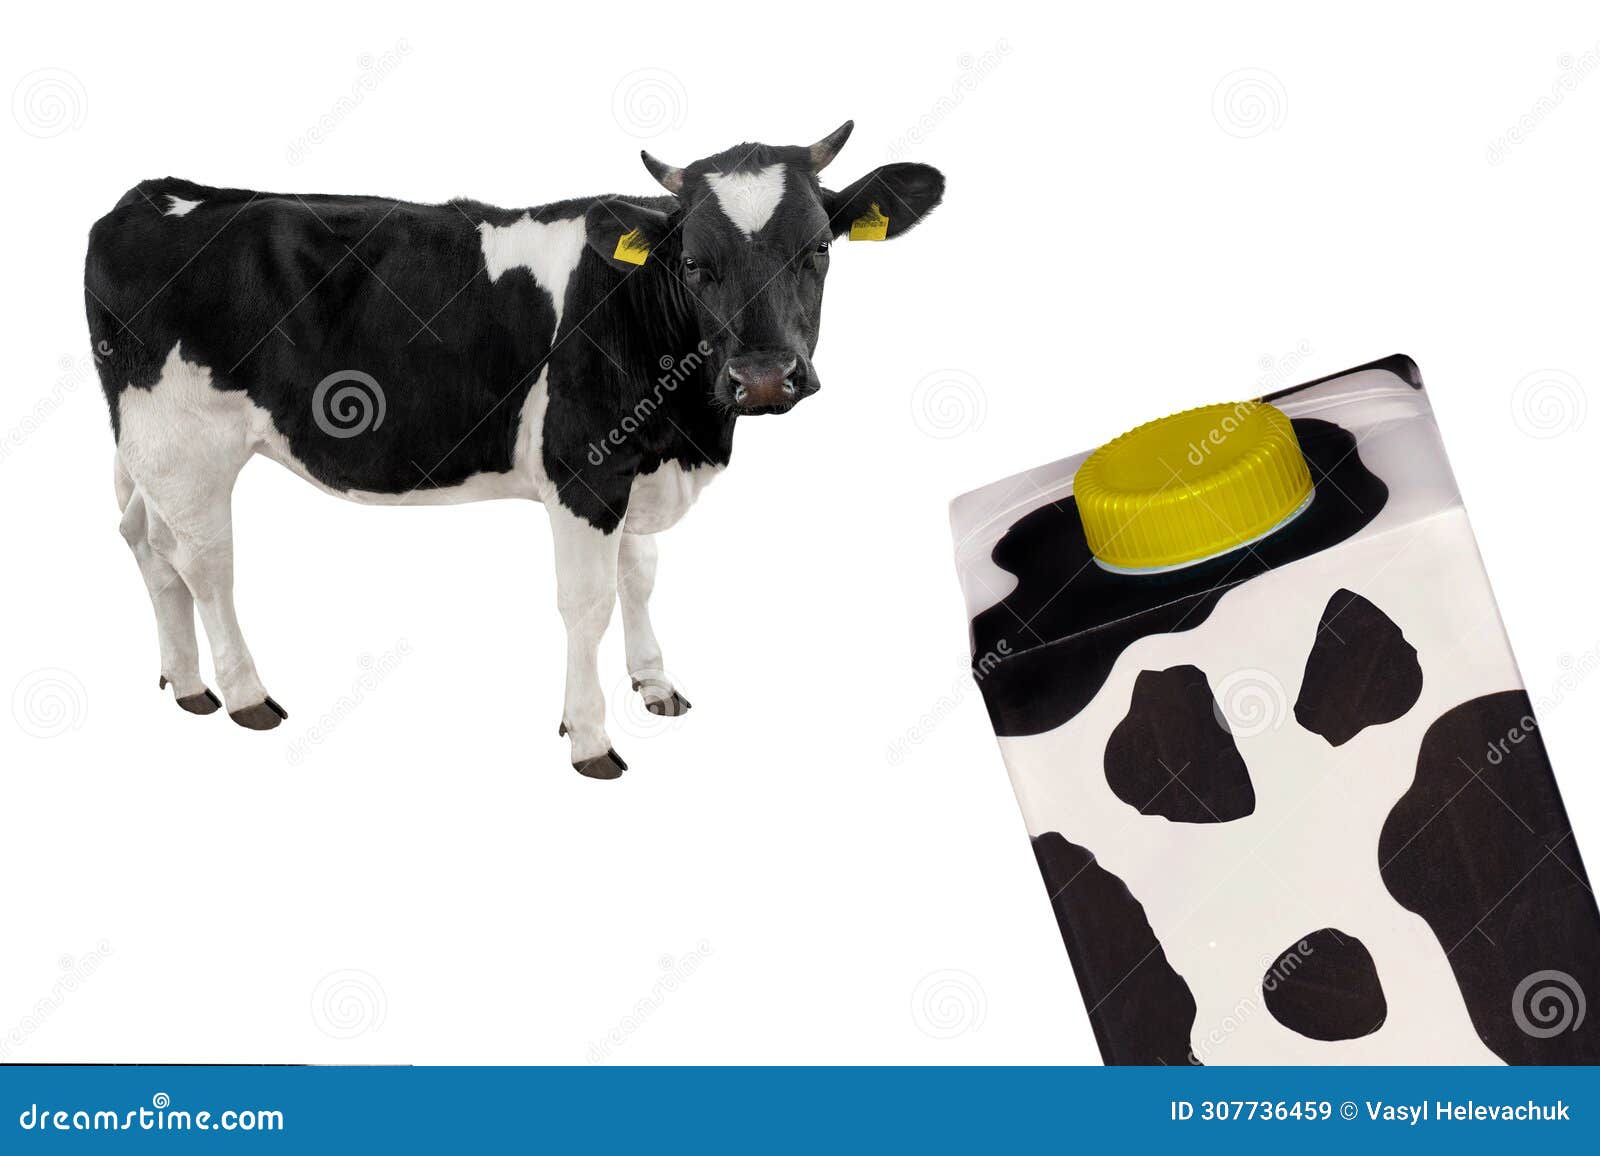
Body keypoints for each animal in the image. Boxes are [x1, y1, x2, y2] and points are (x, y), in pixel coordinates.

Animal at [85, 122, 945, 779]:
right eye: (694, 263)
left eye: (819, 248)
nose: (763, 377)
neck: (687, 434)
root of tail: (152, 194)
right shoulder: (584, 469)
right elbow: (588, 602)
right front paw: (589, 736)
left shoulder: (637, 469)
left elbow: (640, 575)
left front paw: (654, 683)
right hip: (185, 439)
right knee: (203, 561)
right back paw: (245, 695)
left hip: (141, 442)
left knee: (142, 538)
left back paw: (186, 684)